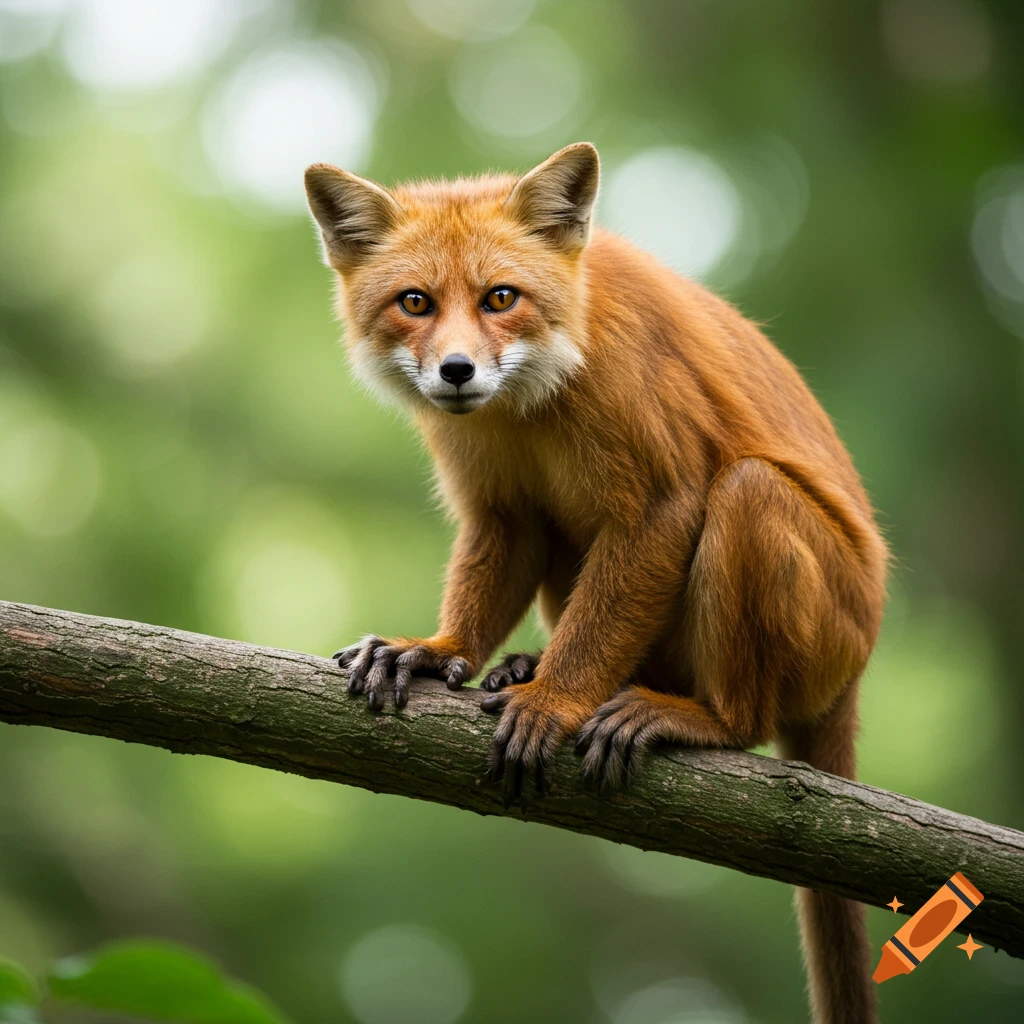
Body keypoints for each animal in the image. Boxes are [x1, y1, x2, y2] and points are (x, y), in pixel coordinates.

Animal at [304, 142, 888, 1024]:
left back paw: (677, 715)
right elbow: (473, 612)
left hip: (752, 507)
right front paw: (435, 653)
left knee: (748, 716)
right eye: (415, 302)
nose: (456, 371)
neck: (535, 401)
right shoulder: (505, 511)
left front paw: (554, 704)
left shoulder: (659, 501)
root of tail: (856, 668)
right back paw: (526, 665)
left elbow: (605, 619)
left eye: (500, 297)